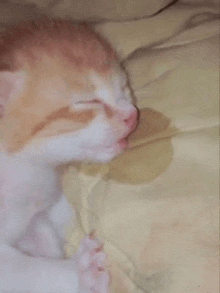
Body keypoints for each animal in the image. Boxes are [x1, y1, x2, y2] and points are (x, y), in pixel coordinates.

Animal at [0, 18, 138, 292]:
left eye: (123, 88)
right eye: (88, 101)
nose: (132, 115)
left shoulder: (31, 214)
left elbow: (44, 235)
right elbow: (21, 269)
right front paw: (82, 272)